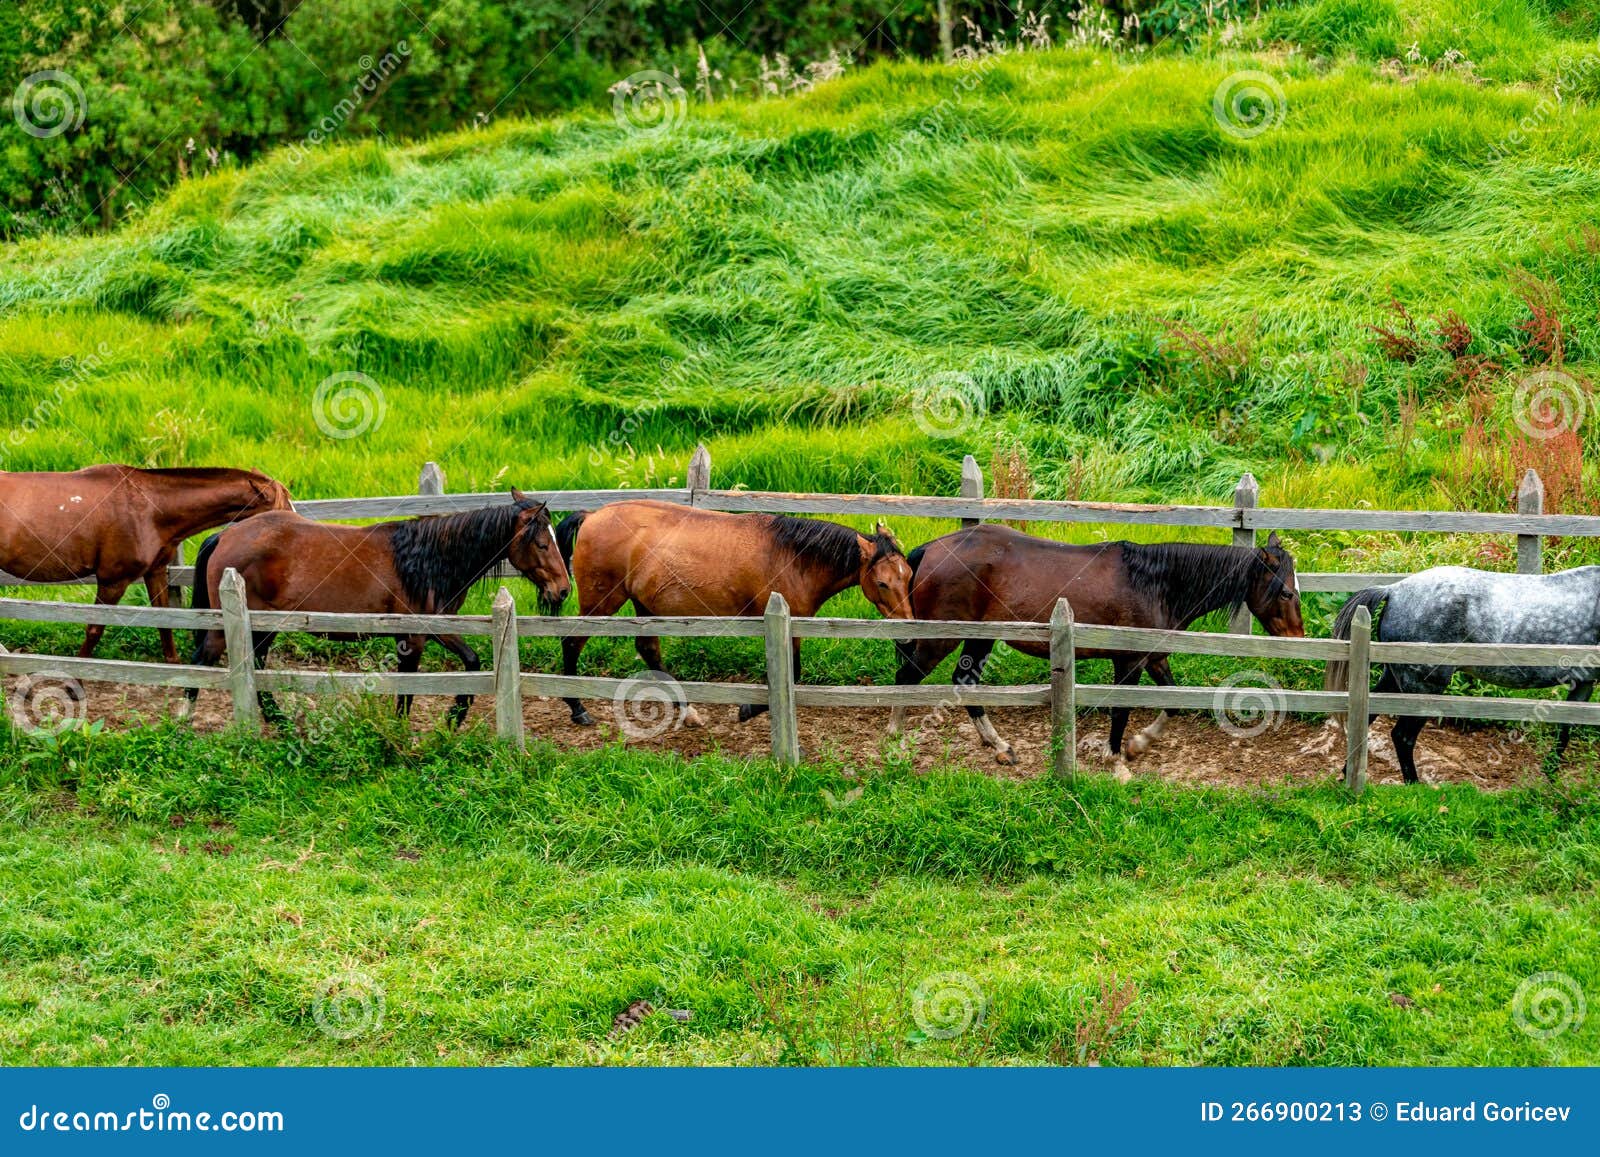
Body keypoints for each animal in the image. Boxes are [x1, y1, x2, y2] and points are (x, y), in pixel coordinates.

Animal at [0, 465, 293, 663]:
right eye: (280, 510)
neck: (150, 508)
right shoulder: (112, 580)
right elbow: (94, 629)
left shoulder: (155, 573)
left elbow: (164, 621)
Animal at [186, 491, 569, 727]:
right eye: (541, 543)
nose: (563, 589)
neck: (425, 562)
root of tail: (224, 536)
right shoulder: (414, 637)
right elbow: (408, 691)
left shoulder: (434, 629)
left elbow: (470, 661)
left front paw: (452, 719)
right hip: (233, 627)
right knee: (201, 664)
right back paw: (185, 722)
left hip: (265, 627)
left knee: (257, 670)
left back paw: (279, 723)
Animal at [554, 499, 913, 727]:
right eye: (882, 582)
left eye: (908, 574)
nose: (909, 631)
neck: (793, 557)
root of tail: (591, 514)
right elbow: (793, 673)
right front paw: (747, 709)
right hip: (601, 603)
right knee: (571, 643)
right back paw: (577, 708)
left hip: (644, 606)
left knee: (648, 650)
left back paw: (688, 712)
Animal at [890, 525, 1305, 769]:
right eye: (1286, 591)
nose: (1299, 639)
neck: (1154, 582)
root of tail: (931, 550)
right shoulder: (1129, 661)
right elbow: (1120, 709)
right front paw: (1114, 754)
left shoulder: (1154, 657)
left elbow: (1171, 701)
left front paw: (1138, 745)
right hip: (942, 638)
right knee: (907, 676)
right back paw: (896, 736)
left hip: (979, 638)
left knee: (964, 684)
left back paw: (1000, 747)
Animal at [1325, 565, 1600, 784]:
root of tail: (1395, 590)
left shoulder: (1584, 682)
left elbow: (1566, 728)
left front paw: (1550, 775)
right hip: (1424, 688)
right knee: (1402, 736)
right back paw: (1414, 785)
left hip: (1394, 678)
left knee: (1368, 719)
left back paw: (1346, 773)